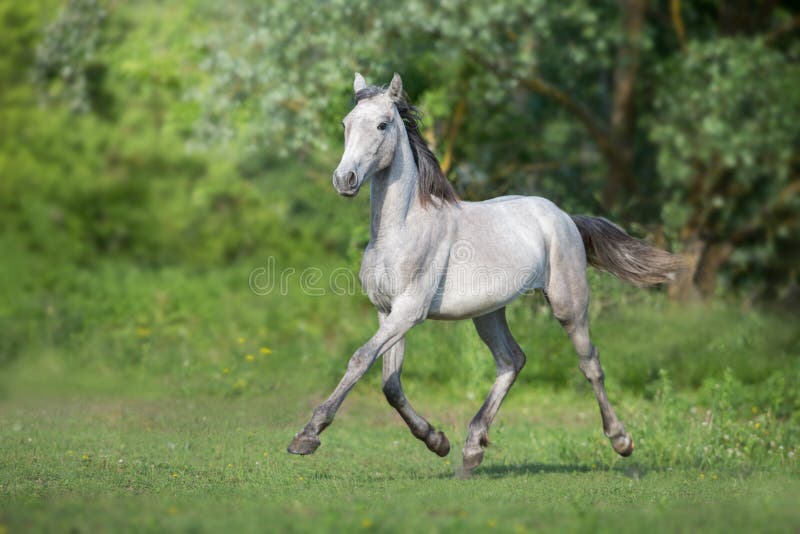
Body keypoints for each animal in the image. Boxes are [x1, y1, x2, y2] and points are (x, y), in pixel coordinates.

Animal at [288, 72, 682, 473]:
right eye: (346, 124)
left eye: (382, 125)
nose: (345, 179)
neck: (401, 228)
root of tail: (564, 216)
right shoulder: (388, 312)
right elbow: (390, 384)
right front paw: (437, 441)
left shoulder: (409, 310)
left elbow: (360, 359)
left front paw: (307, 436)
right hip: (488, 313)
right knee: (511, 361)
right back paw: (472, 447)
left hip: (568, 304)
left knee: (590, 364)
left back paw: (621, 440)